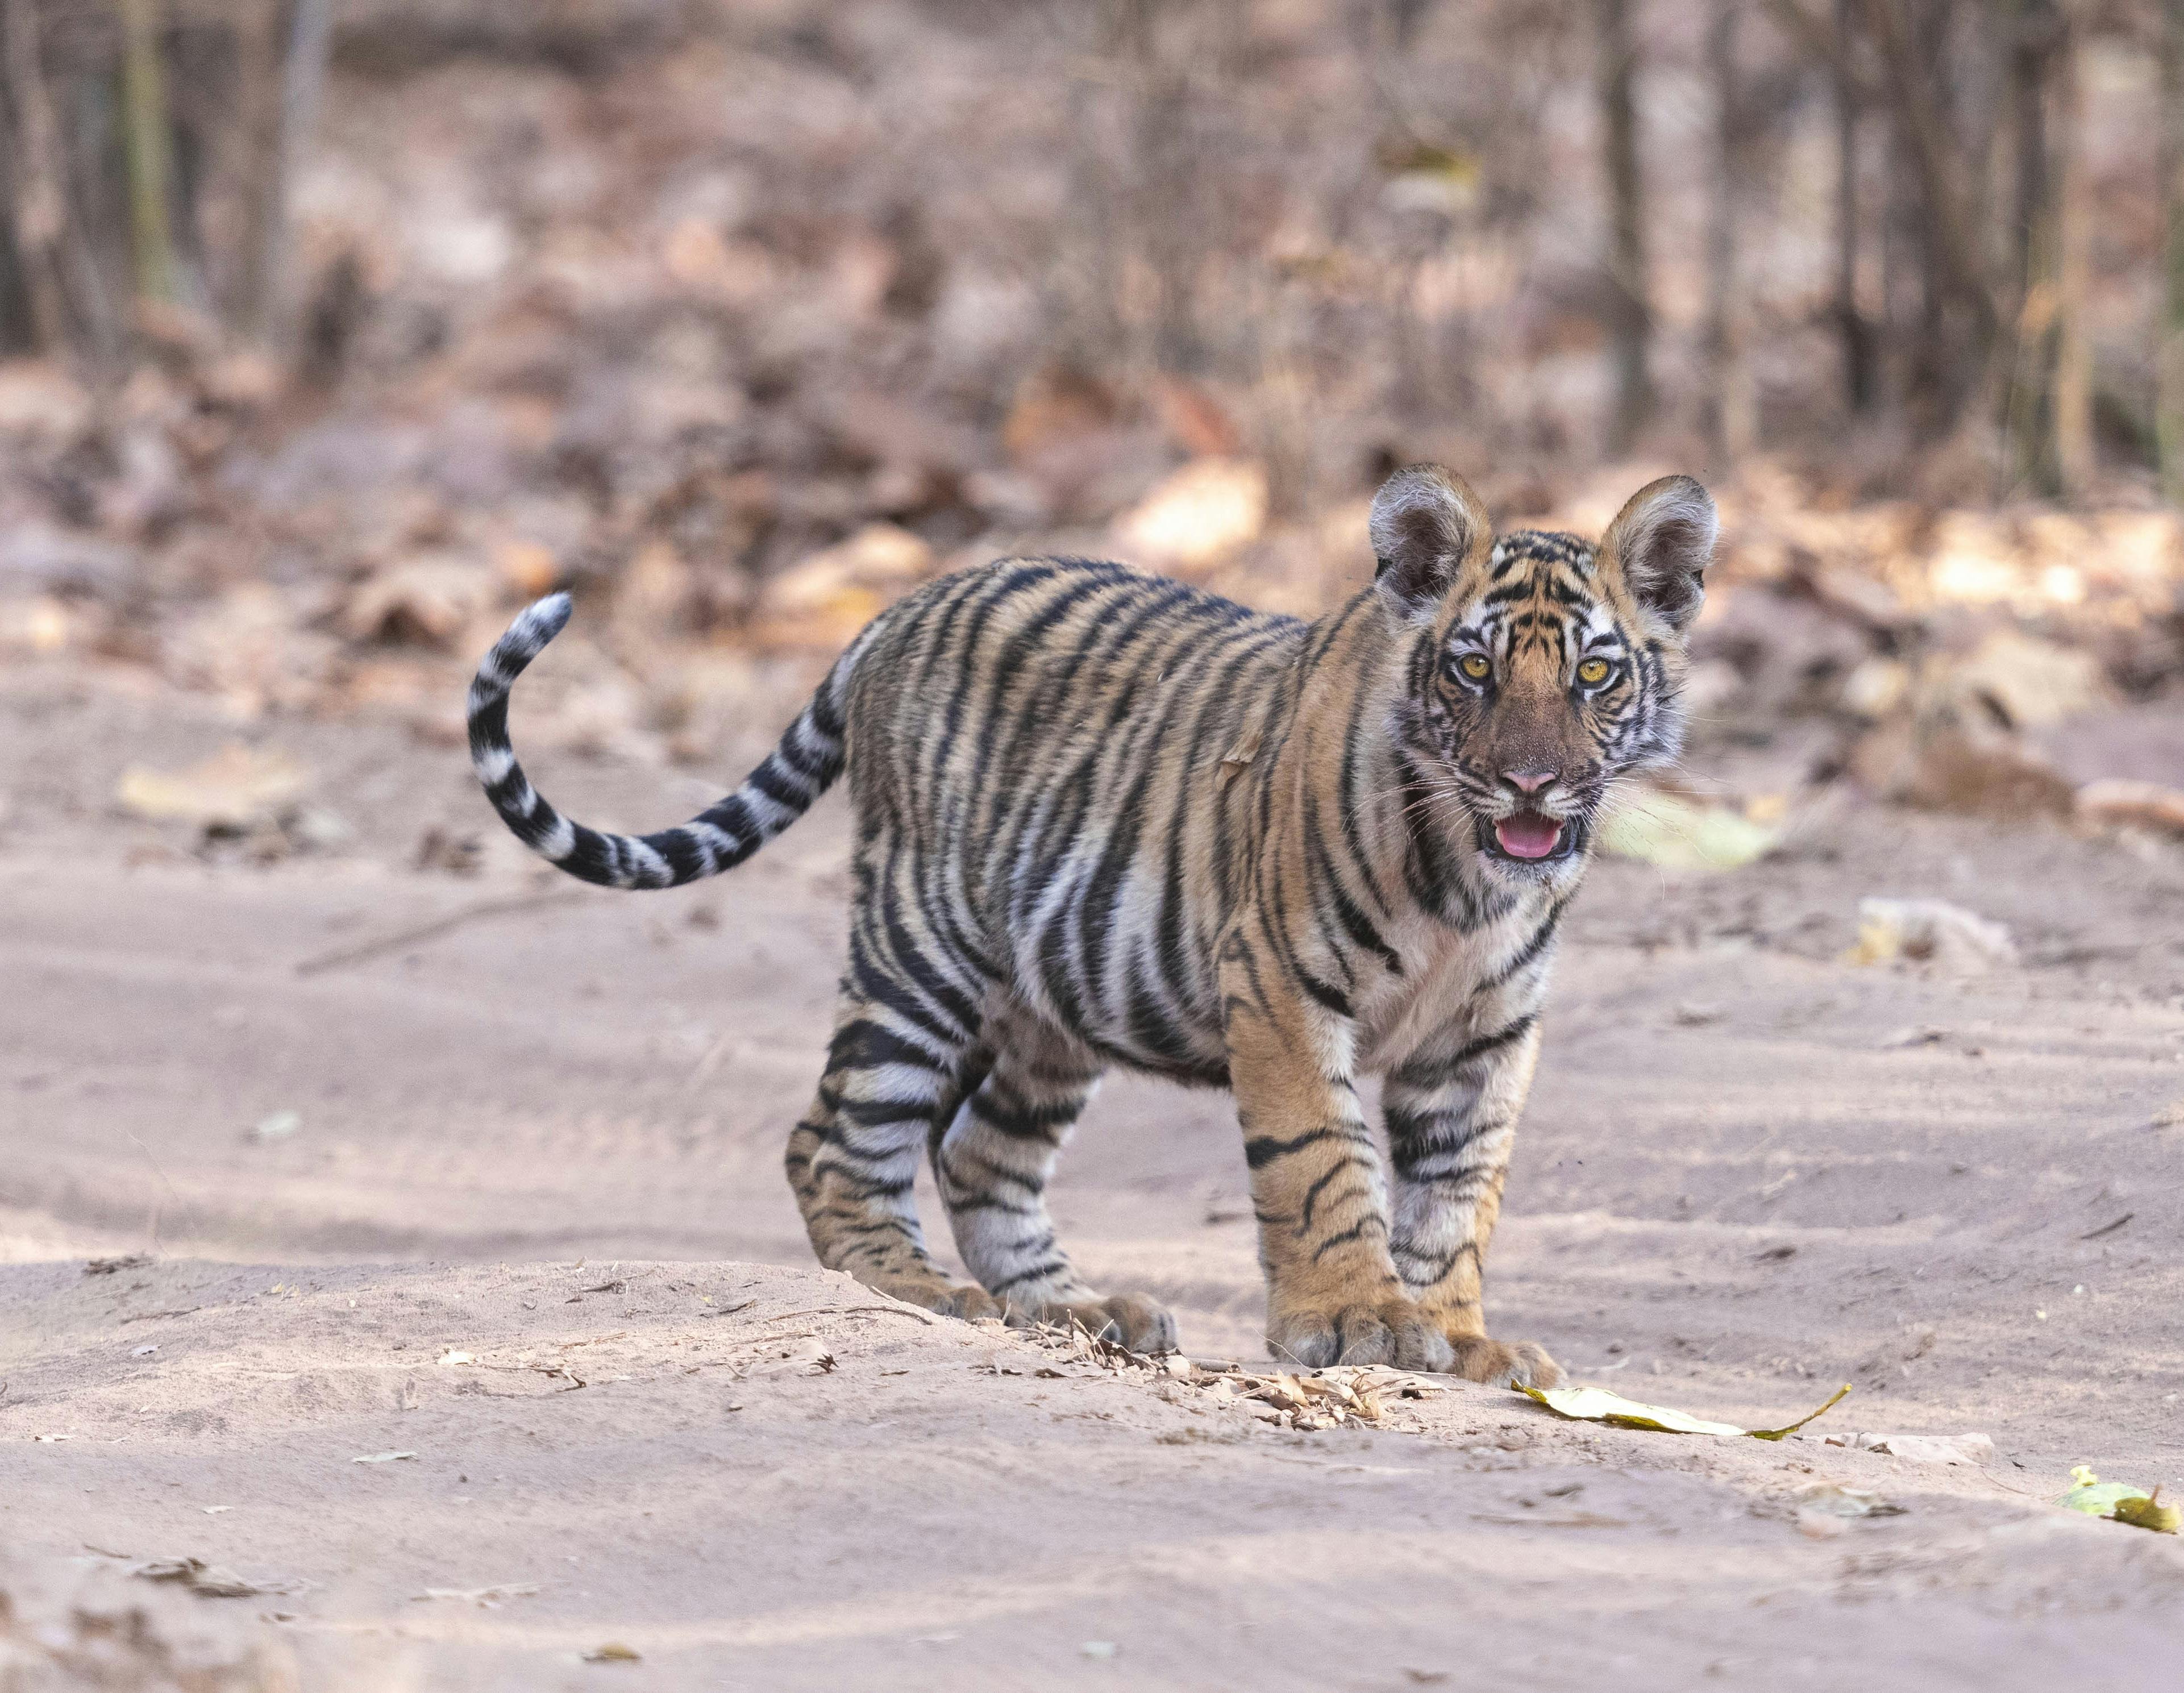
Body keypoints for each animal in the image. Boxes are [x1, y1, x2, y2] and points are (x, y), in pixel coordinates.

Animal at [467, 465, 1717, 1384]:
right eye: (1471, 671)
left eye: (1593, 675)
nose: (1531, 783)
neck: (1471, 877)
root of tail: (901, 604)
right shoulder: (1279, 983)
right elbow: (1322, 1163)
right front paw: (1356, 1320)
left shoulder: (1485, 1034)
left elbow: (1457, 1194)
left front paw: (1458, 1337)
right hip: (922, 949)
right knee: (832, 1138)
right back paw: (918, 1289)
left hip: (1050, 1004)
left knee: (978, 1151)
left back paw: (1070, 1309)